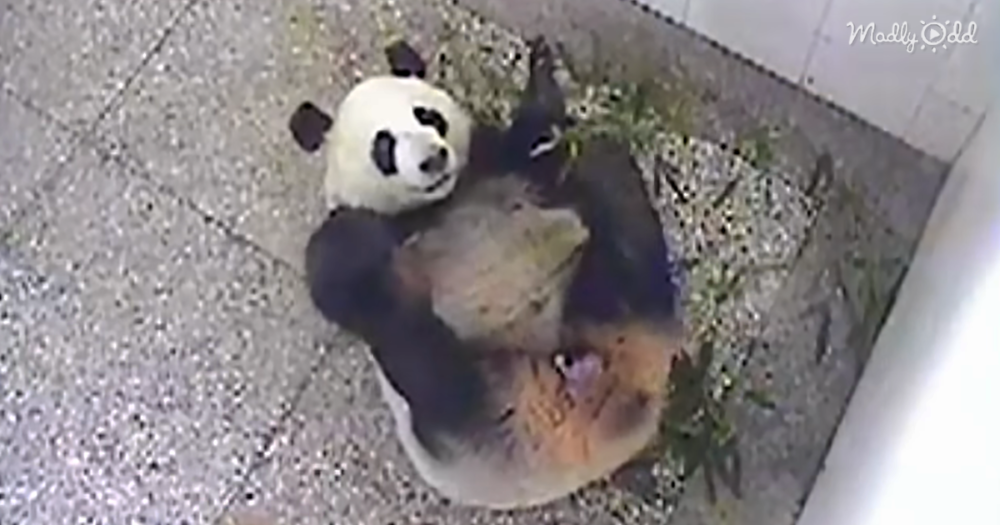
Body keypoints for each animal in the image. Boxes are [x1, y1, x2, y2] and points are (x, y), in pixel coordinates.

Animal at [292, 38, 685, 509]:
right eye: (384, 147)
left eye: (426, 116)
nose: (433, 159)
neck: (443, 199)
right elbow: (340, 269)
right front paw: (351, 235)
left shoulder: (498, 165)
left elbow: (537, 142)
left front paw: (541, 70)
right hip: (486, 421)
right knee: (431, 365)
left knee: (609, 185)